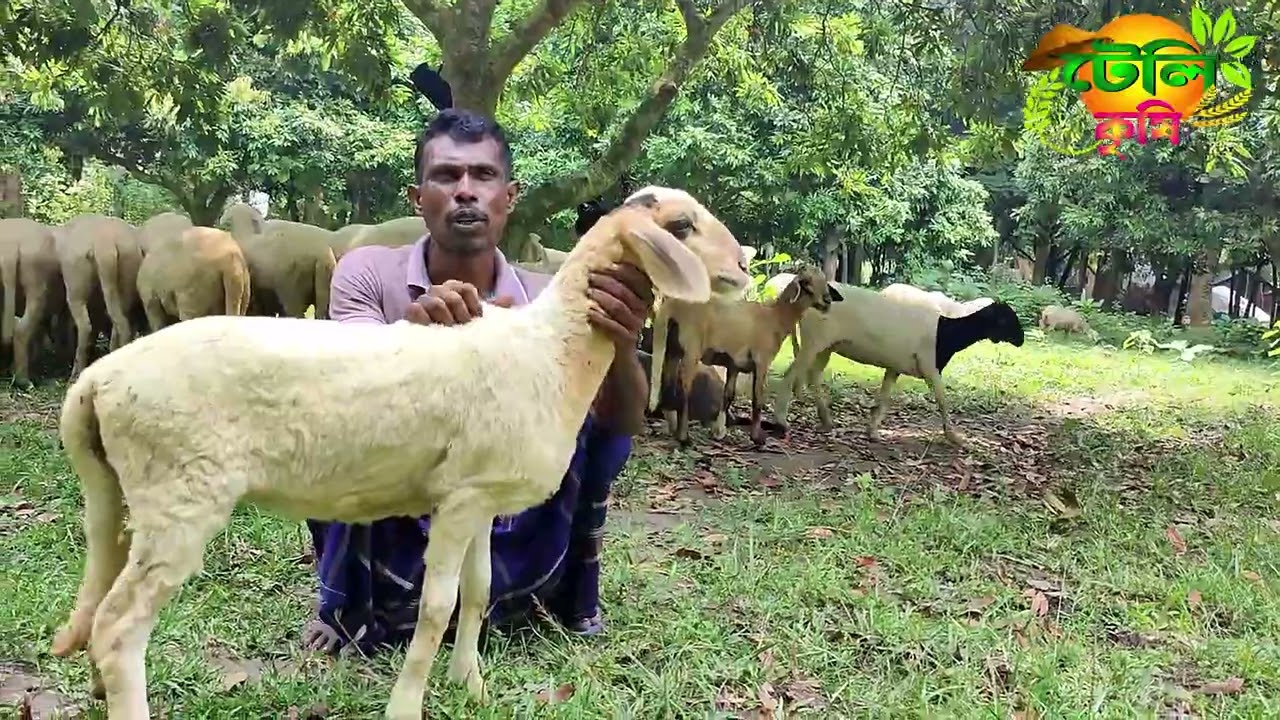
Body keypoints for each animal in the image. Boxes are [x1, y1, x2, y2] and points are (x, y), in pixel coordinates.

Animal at [52, 214, 144, 379]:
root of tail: (105, 245)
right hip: (129, 265)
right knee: (121, 319)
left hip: (76, 272)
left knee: (84, 323)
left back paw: (75, 374)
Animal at [650, 264, 842, 446]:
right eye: (806, 283)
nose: (827, 301)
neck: (775, 318)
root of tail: (672, 305)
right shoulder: (761, 361)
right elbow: (758, 398)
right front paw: (757, 438)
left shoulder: (734, 364)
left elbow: (728, 395)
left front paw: (719, 432)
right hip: (691, 348)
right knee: (684, 388)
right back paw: (684, 437)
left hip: (672, 349)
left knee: (668, 384)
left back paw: (673, 428)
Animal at [772, 283, 1024, 446]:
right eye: (1007, 318)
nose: (1021, 340)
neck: (946, 331)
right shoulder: (930, 366)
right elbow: (943, 400)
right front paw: (955, 438)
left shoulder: (895, 367)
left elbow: (884, 398)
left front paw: (873, 432)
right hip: (814, 341)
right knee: (791, 374)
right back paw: (781, 419)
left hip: (827, 346)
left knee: (813, 374)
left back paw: (826, 420)